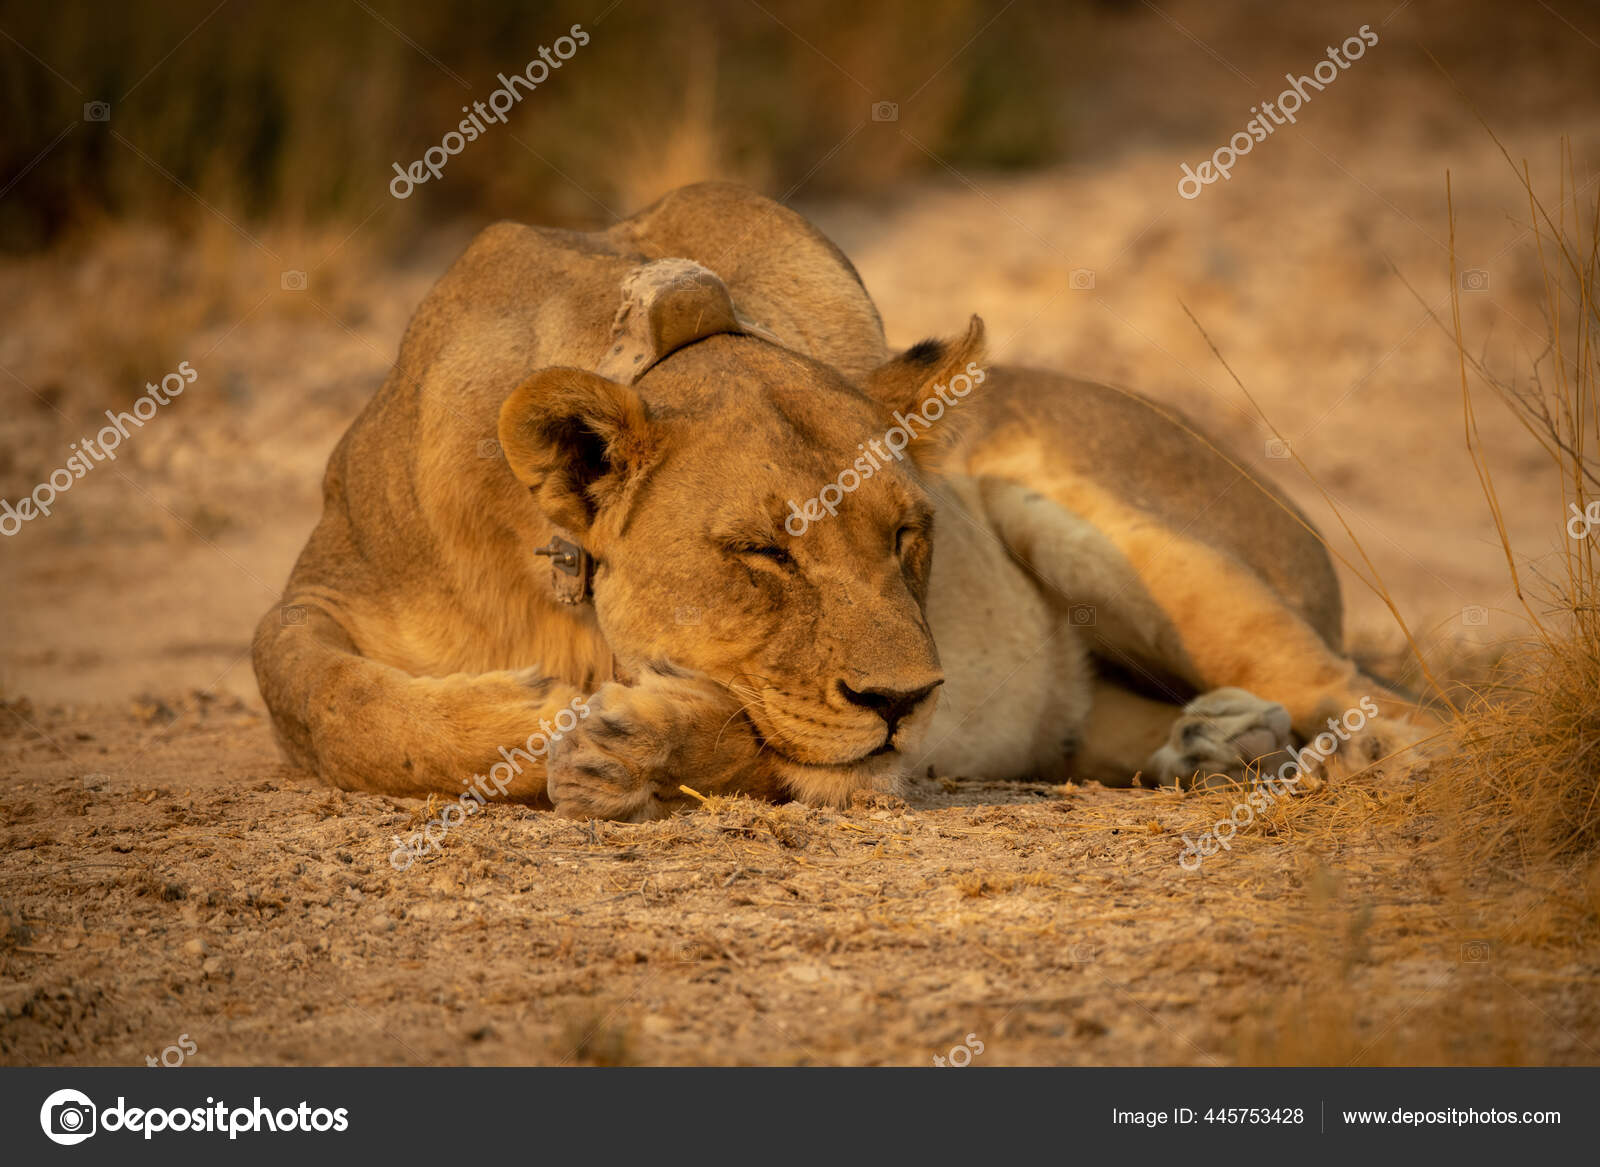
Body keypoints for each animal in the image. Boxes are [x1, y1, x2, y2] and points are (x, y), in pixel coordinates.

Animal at [253, 181, 1430, 821]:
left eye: (909, 535)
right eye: (762, 554)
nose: (909, 701)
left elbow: (745, 732)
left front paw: (612, 739)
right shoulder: (324, 583)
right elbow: (315, 696)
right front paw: (529, 718)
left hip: (1111, 534)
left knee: (1375, 695)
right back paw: (1215, 746)